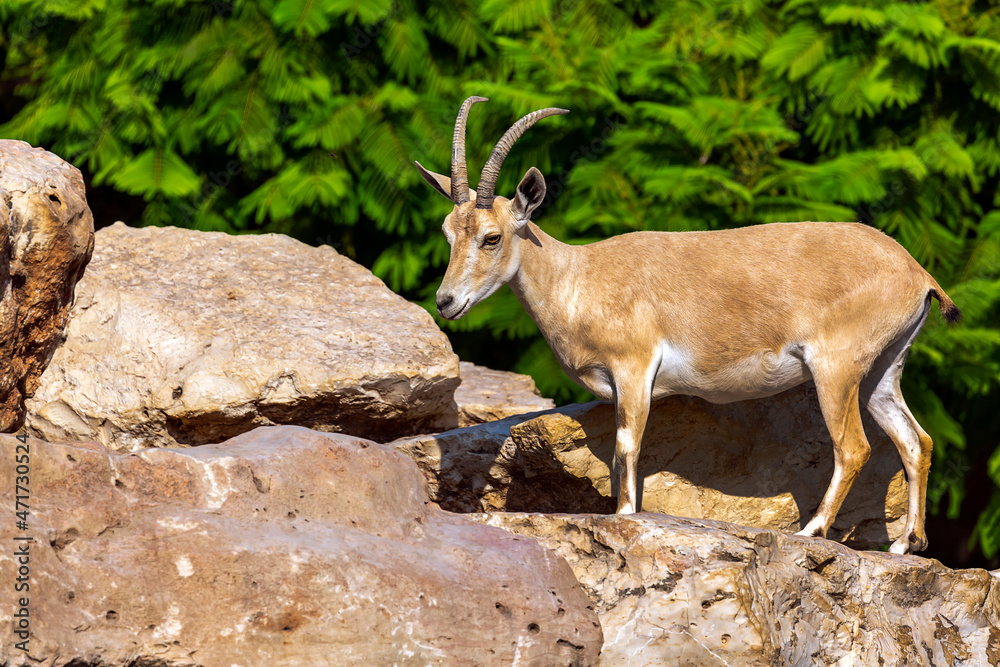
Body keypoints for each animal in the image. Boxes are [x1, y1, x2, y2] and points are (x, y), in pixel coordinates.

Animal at [415, 96, 960, 555]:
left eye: (491, 236)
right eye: (447, 231)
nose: (447, 301)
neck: (581, 277)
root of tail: (918, 274)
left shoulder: (635, 369)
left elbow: (626, 447)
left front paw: (625, 517)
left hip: (836, 368)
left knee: (854, 447)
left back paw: (813, 530)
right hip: (882, 370)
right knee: (916, 441)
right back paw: (904, 544)